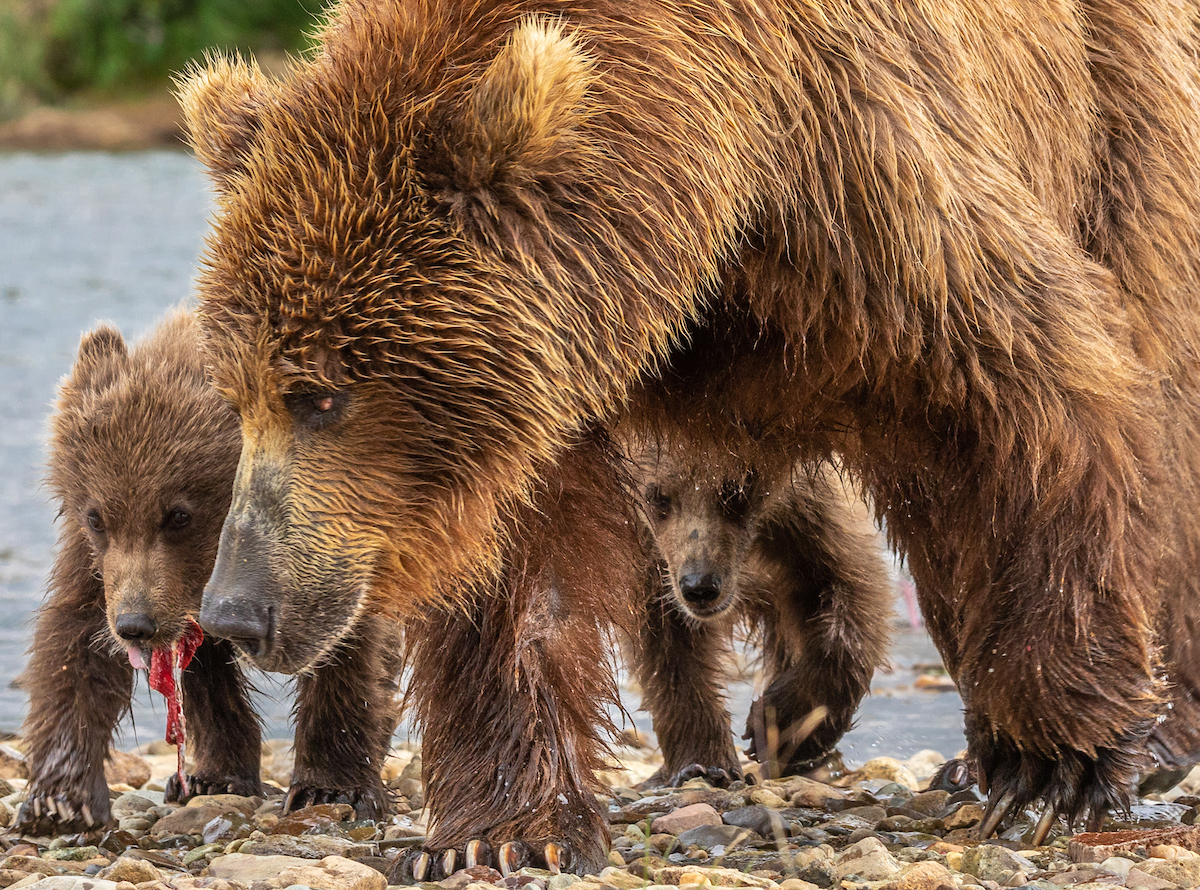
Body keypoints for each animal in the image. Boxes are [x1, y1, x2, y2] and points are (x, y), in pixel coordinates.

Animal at [15, 308, 401, 835]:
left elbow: (348, 650)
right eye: (97, 517)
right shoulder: (100, 565)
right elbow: (75, 642)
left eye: (179, 515)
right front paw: (58, 800)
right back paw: (210, 776)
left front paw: (331, 786)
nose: (135, 626)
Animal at [629, 441, 892, 787]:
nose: (700, 586)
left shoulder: (812, 515)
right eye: (658, 496)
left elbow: (852, 588)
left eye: (734, 492)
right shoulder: (652, 558)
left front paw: (784, 725)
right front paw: (703, 765)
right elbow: (668, 647)